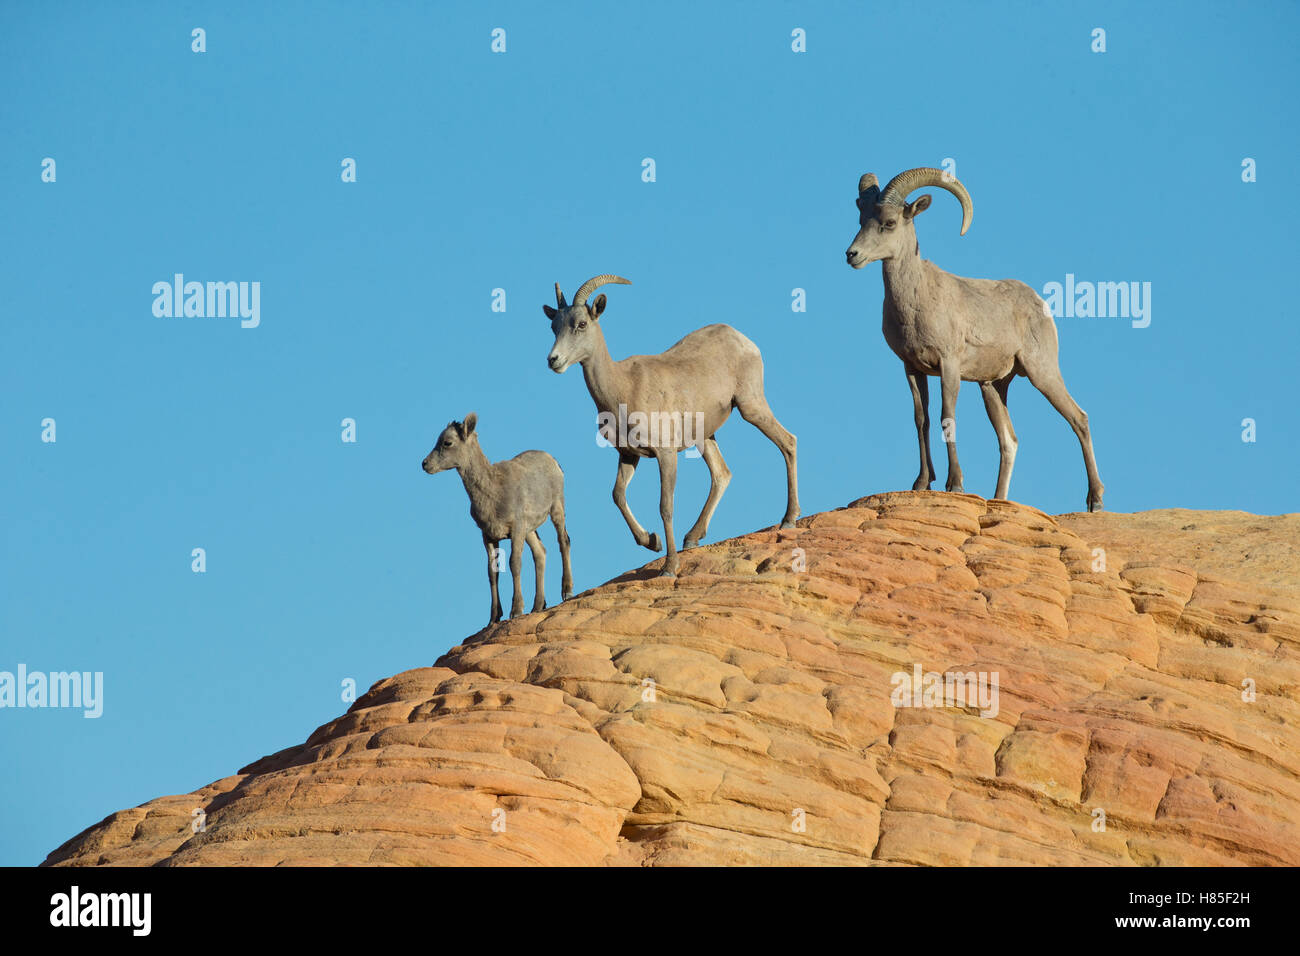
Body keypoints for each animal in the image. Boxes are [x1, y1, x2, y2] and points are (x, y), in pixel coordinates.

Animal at [422, 412, 573, 623]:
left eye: (447, 442)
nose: (425, 464)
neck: (493, 493)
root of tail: (554, 461)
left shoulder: (516, 529)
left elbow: (514, 564)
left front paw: (516, 610)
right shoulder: (488, 535)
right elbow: (492, 573)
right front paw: (493, 617)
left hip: (556, 508)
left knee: (563, 541)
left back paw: (566, 591)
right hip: (530, 530)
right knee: (540, 552)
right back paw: (538, 606)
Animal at [544, 274, 799, 578]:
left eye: (581, 324)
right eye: (554, 326)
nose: (553, 360)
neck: (622, 387)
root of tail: (744, 340)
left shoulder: (665, 454)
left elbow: (665, 507)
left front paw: (668, 567)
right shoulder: (628, 455)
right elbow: (618, 495)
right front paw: (651, 541)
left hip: (750, 406)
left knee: (788, 442)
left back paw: (788, 519)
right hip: (706, 436)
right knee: (721, 474)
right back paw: (693, 537)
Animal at [845, 167, 1104, 512]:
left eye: (888, 223)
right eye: (862, 219)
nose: (852, 255)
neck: (916, 300)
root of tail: (1040, 303)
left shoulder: (949, 365)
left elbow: (947, 418)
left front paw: (955, 484)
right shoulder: (912, 369)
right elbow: (922, 420)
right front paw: (922, 482)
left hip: (1042, 372)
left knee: (1079, 419)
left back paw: (1095, 500)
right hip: (993, 387)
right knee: (1009, 441)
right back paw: (998, 499)